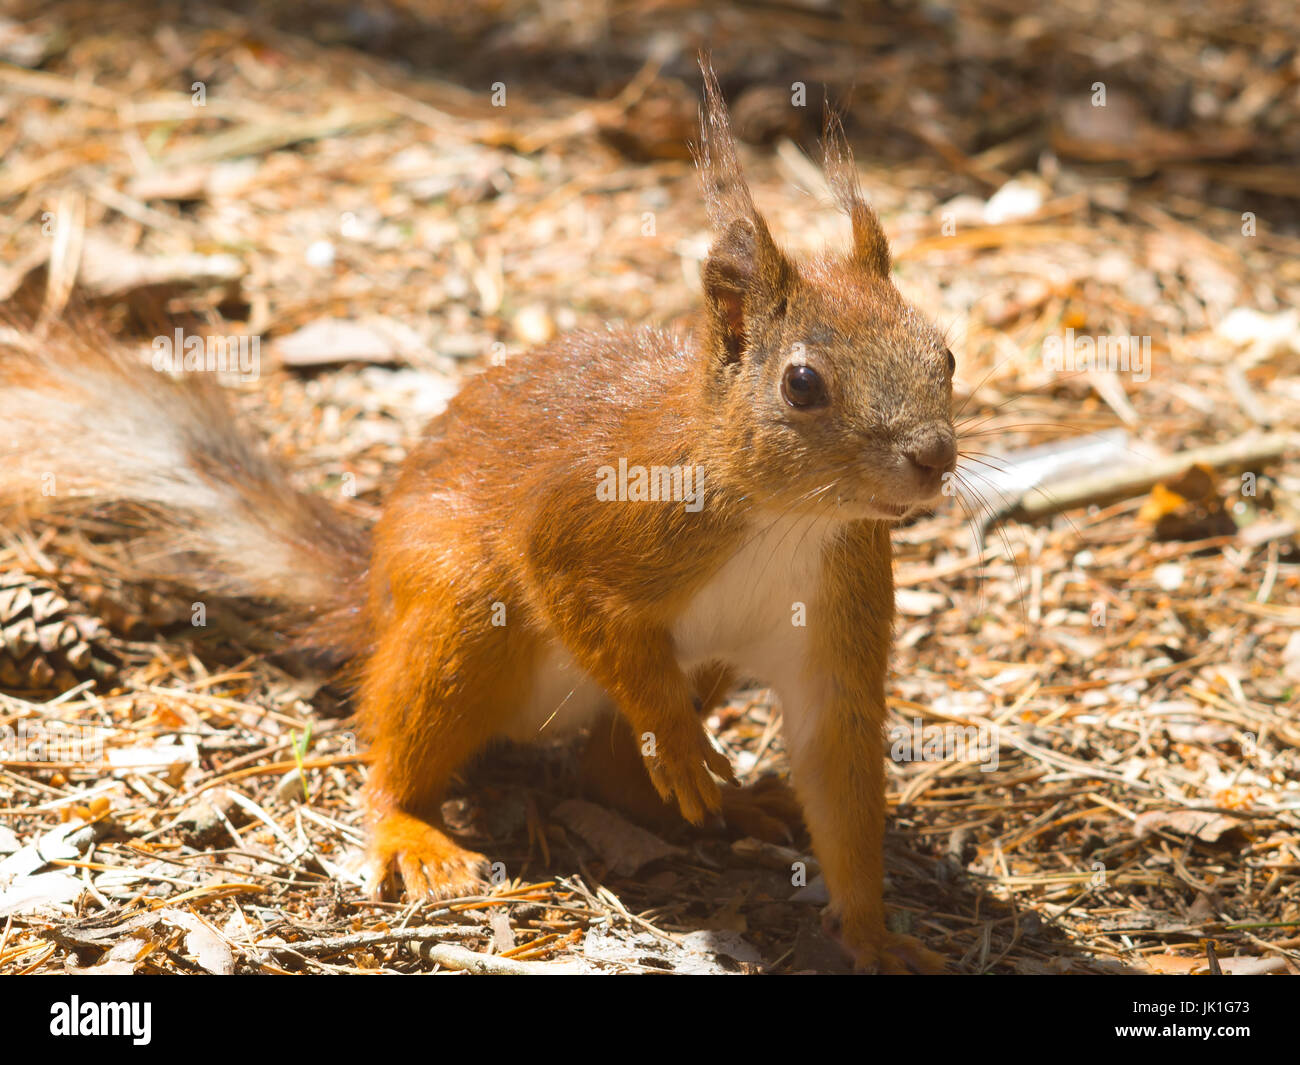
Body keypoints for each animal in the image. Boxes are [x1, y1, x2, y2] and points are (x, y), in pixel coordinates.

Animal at [0, 63, 956, 973]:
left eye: (945, 353)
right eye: (803, 383)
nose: (934, 457)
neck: (787, 519)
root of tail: (369, 603)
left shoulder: (837, 605)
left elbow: (837, 759)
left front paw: (872, 931)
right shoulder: (595, 518)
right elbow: (568, 584)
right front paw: (679, 741)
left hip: (707, 660)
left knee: (605, 769)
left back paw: (727, 799)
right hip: (459, 614)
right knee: (397, 751)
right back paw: (414, 831)